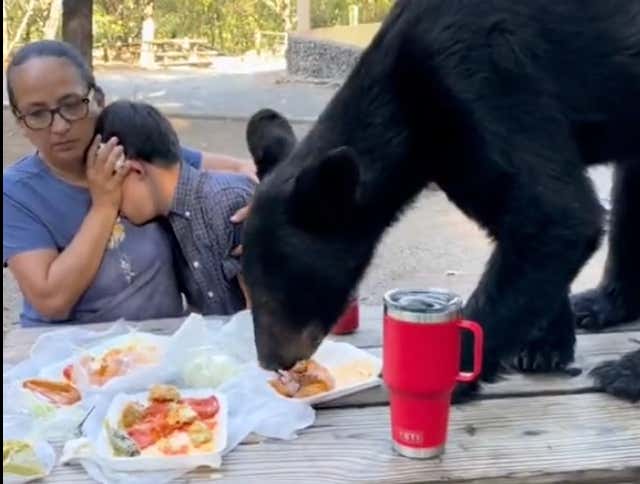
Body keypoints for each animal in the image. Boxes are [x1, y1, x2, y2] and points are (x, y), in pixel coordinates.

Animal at [242, 0, 640, 402]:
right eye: (247, 285)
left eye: (281, 290)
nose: (271, 360)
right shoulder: (458, 156)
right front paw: (544, 345)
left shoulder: (485, 80)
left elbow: (555, 215)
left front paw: (450, 374)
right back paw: (604, 303)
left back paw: (625, 372)